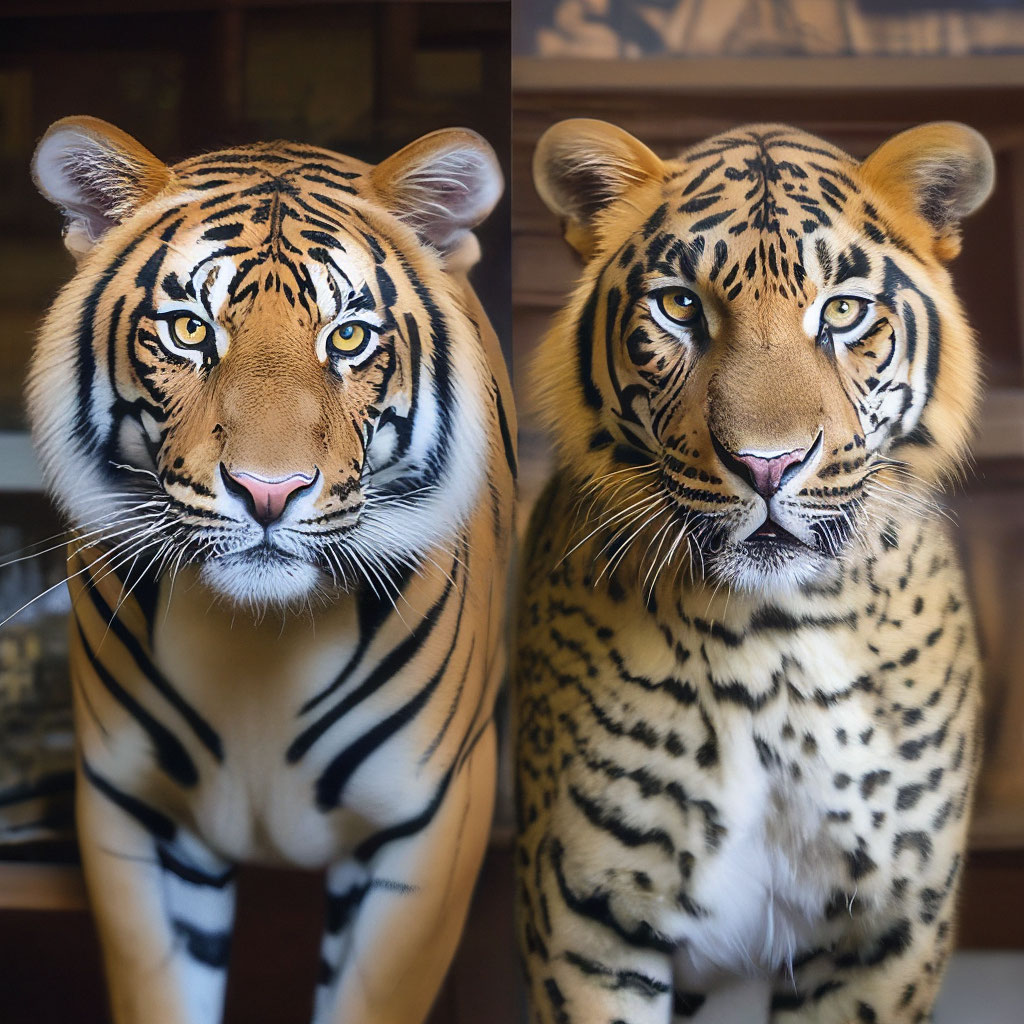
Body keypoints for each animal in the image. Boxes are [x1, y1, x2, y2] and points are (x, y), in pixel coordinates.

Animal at [28, 114, 516, 1024]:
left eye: (348, 337)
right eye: (189, 330)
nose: (268, 490)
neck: (253, 649)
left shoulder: (425, 828)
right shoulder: (133, 816)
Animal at [514, 118, 992, 1024]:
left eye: (842, 311)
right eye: (680, 306)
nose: (767, 466)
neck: (772, 642)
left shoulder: (882, 936)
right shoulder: (588, 922)